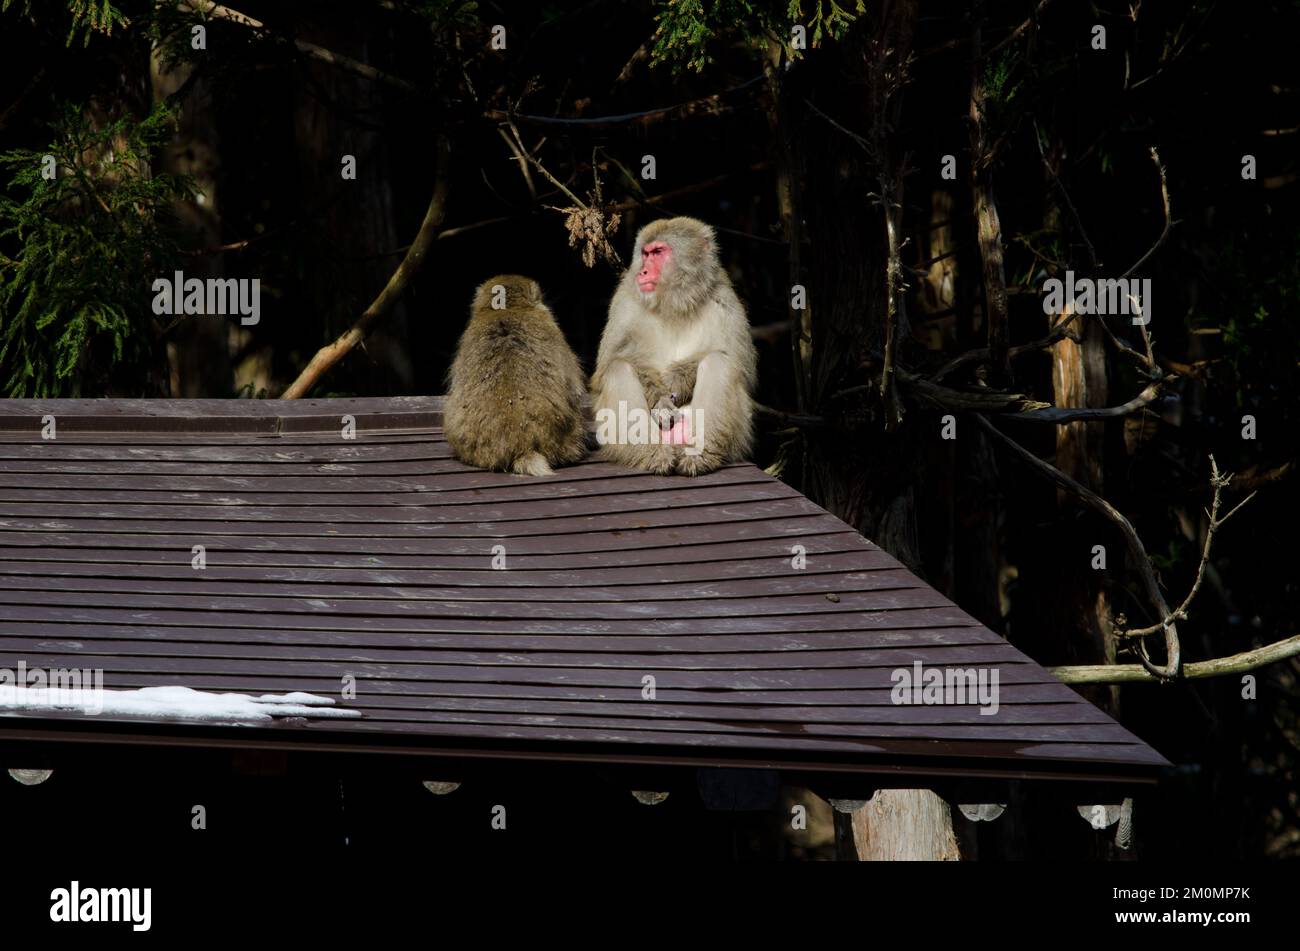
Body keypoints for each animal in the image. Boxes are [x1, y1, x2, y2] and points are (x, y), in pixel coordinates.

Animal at [589, 216, 757, 476]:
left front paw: (676, 380)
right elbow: (609, 362)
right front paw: (661, 401)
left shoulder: (724, 300)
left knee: (718, 362)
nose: (643, 271)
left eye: (658, 252)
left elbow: (740, 364)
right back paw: (653, 455)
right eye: (645, 253)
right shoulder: (625, 298)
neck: (674, 301)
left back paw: (698, 455)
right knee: (618, 369)